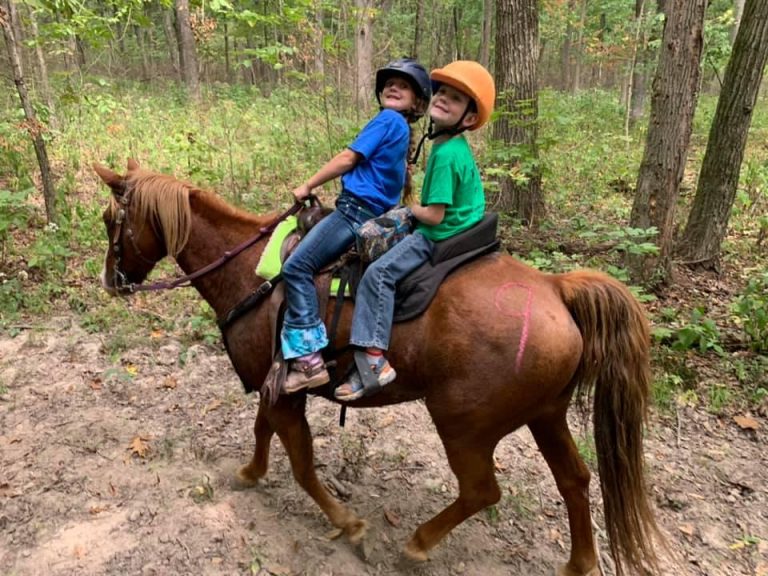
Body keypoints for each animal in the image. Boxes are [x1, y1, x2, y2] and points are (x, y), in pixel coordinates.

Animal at [94, 159, 661, 576]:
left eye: (108, 220)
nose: (111, 282)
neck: (251, 273)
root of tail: (556, 289)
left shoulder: (286, 394)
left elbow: (302, 466)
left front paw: (350, 526)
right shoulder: (277, 386)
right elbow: (262, 433)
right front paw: (250, 473)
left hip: (464, 423)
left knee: (483, 490)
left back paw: (416, 545)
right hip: (546, 415)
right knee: (575, 480)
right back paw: (578, 563)